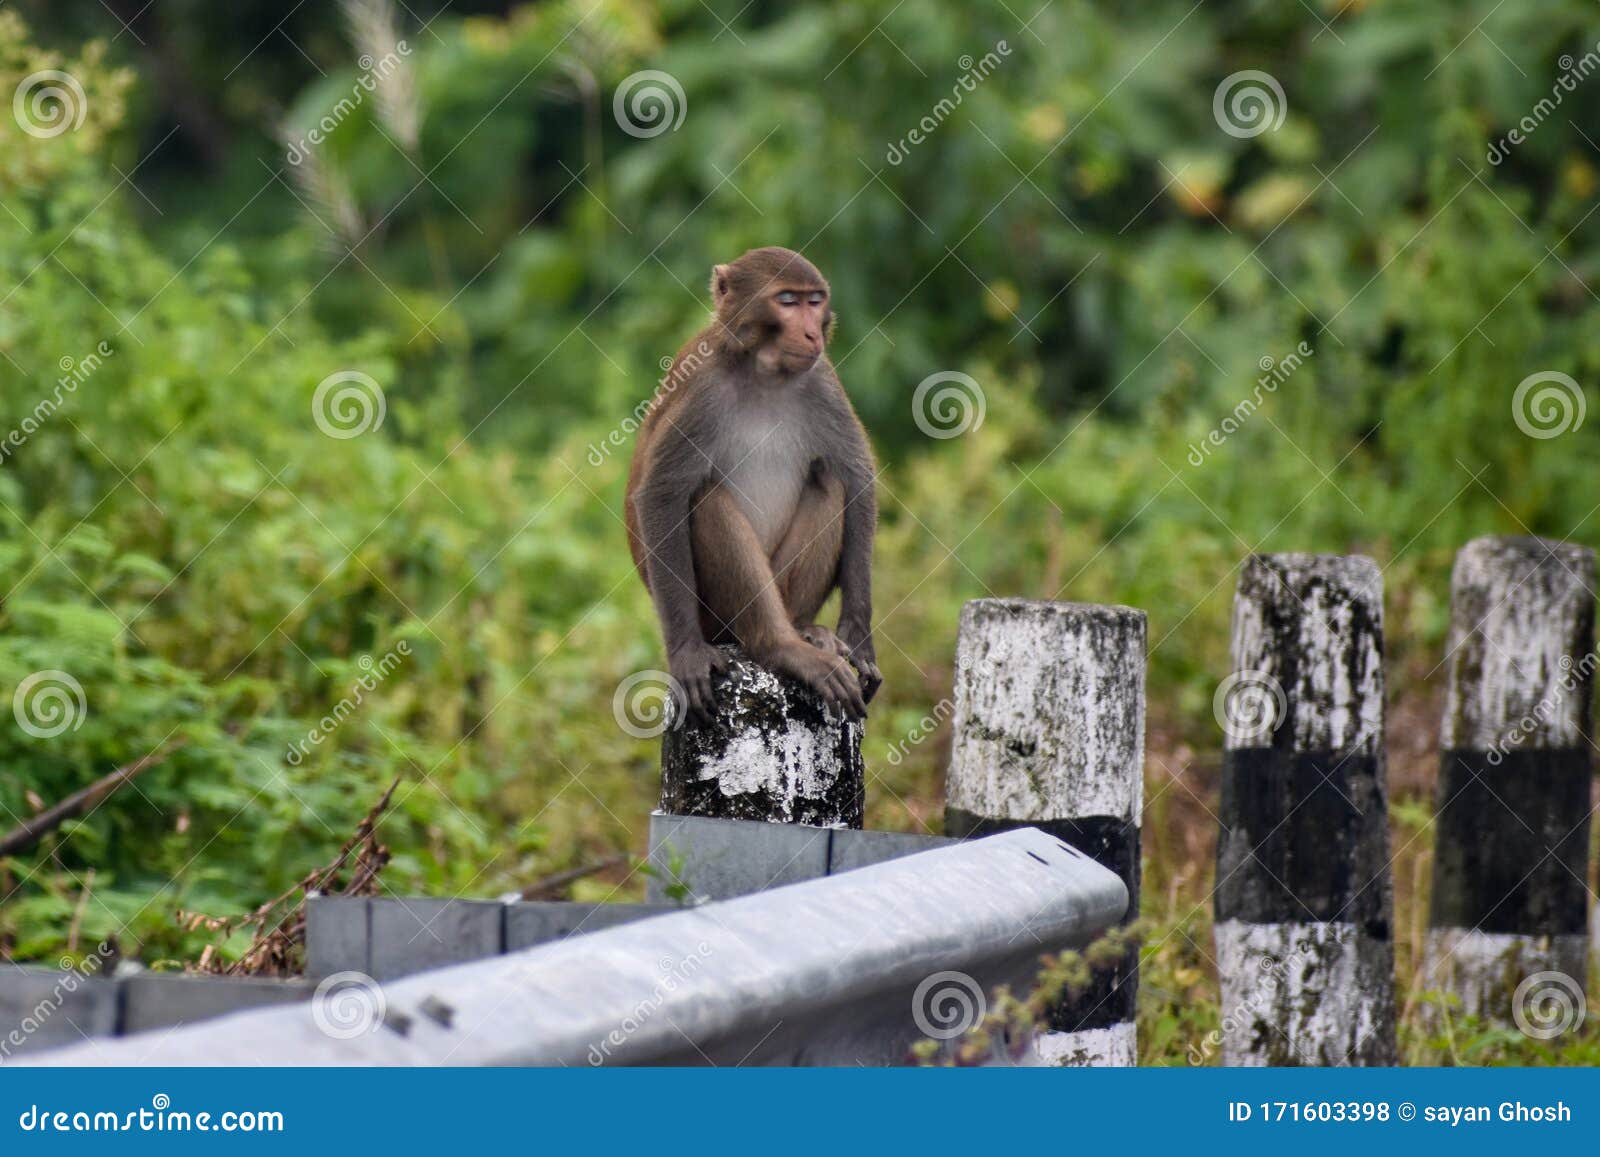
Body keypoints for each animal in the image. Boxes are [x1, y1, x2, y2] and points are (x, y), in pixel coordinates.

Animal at [625, 246, 882, 726]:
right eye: (787, 301)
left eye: (813, 301)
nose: (810, 333)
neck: (765, 372)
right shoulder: (703, 390)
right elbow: (662, 494)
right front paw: (686, 652)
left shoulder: (823, 379)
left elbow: (857, 479)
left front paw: (858, 637)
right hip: (716, 618)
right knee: (704, 495)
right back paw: (779, 646)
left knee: (828, 479)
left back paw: (803, 630)